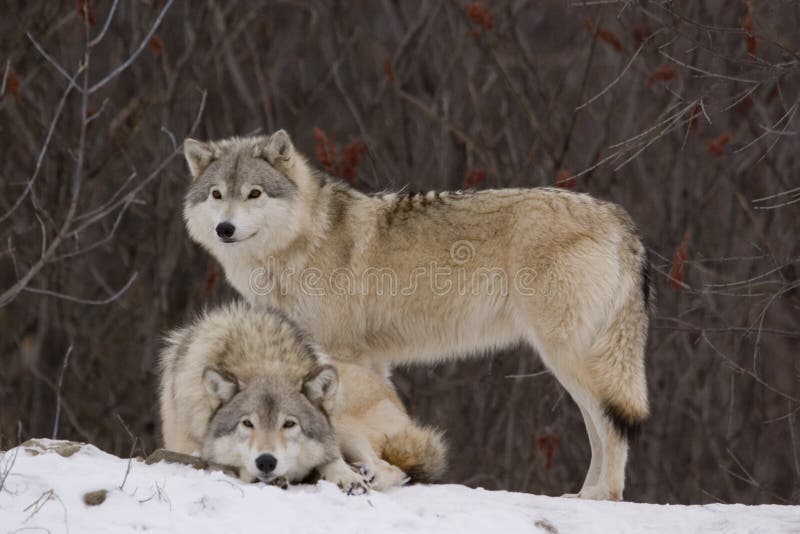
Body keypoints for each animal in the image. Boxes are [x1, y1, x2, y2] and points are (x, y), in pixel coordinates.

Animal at [158, 302, 446, 493]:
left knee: (390, 467)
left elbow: (331, 459)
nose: (266, 462)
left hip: (344, 423)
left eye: (289, 424)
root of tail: (387, 388)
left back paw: (365, 474)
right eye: (247, 423)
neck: (263, 358)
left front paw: (347, 477)